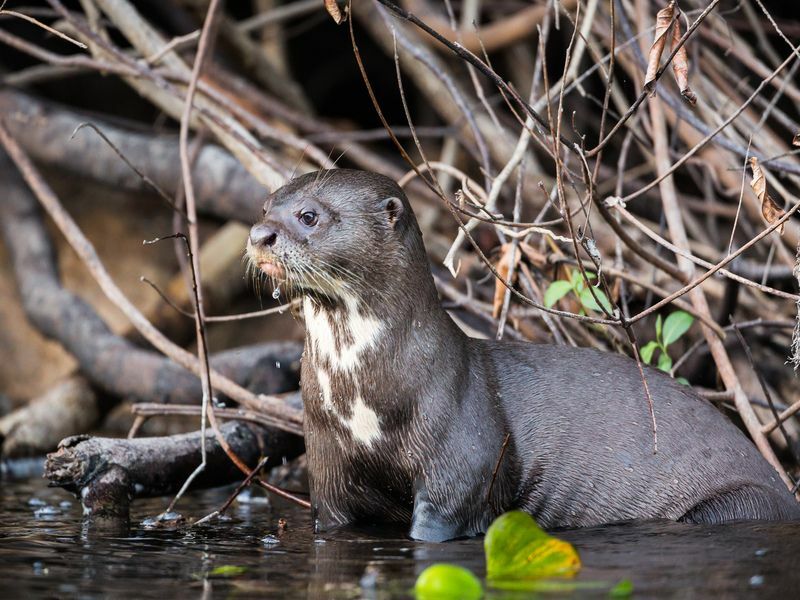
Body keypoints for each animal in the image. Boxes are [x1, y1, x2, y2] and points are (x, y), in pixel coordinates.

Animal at [247, 169, 796, 544]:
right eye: (266, 207)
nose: (259, 236)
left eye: (309, 215)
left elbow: (445, 517)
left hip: (737, 503)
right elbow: (333, 517)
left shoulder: (463, 460)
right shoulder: (328, 468)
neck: (363, 395)